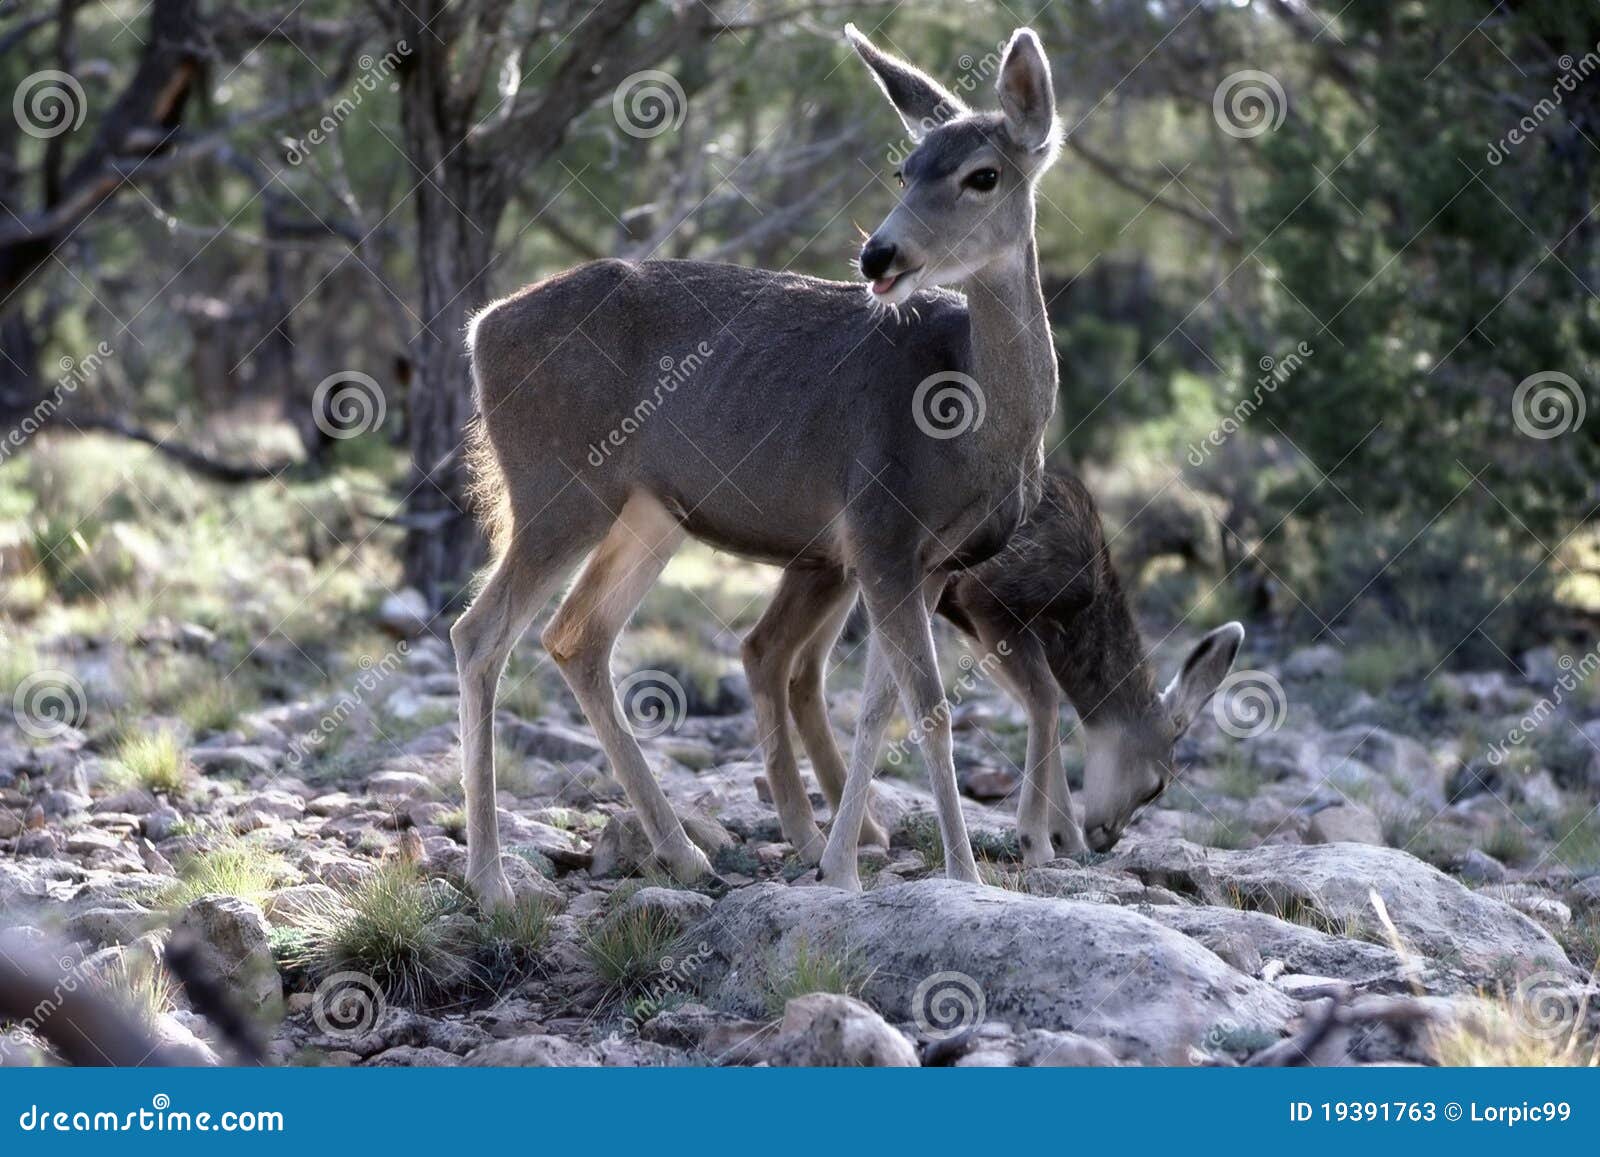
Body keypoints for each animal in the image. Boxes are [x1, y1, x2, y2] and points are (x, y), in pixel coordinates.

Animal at [455, 24, 1065, 907]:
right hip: (556, 485)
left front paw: (840, 864)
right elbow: (928, 706)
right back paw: (493, 878)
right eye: (905, 169)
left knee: (578, 635)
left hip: (648, 510)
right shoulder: (880, 524)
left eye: (982, 174)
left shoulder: (925, 561)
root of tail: (480, 330)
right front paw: (959, 871)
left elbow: (878, 706)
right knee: (480, 634)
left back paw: (683, 854)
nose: (878, 255)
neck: (977, 424)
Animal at [742, 468, 1245, 888]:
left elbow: (1034, 701)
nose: (1107, 838)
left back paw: (853, 831)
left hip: (838, 567)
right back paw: (817, 838)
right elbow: (1045, 698)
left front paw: (1063, 835)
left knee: (793, 662)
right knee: (769, 649)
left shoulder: (982, 623)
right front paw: (1038, 841)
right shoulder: (988, 597)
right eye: (1157, 785)